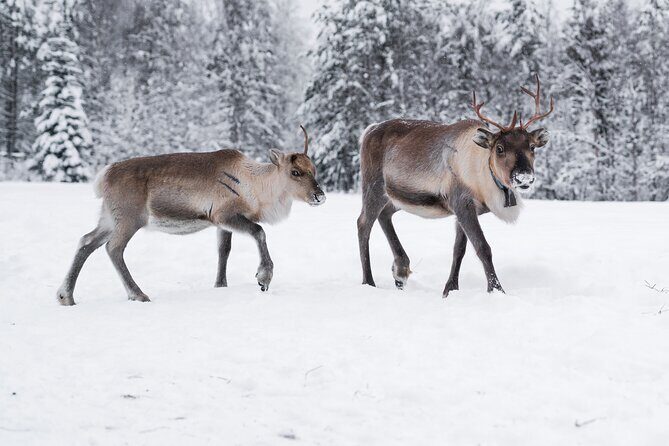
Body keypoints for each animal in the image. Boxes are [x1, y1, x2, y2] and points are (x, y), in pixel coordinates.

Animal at [57, 126, 326, 305]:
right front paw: (264, 278)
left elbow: (223, 251)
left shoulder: (222, 223)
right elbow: (259, 231)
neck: (257, 187)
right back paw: (138, 294)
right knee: (113, 248)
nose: (319, 196)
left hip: (108, 218)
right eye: (295, 172)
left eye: (313, 169)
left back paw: (65, 296)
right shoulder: (225, 215)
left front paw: (220, 285)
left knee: (86, 242)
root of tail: (103, 176)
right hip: (130, 218)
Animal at [357, 74, 554, 297]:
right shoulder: (462, 203)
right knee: (363, 223)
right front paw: (496, 290)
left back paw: (400, 271)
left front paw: (450, 289)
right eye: (500, 148)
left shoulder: (465, 210)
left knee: (384, 215)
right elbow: (482, 247)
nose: (524, 177)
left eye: (532, 147)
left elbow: (459, 249)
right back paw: (369, 281)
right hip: (374, 186)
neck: (484, 177)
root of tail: (369, 130)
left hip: (398, 197)